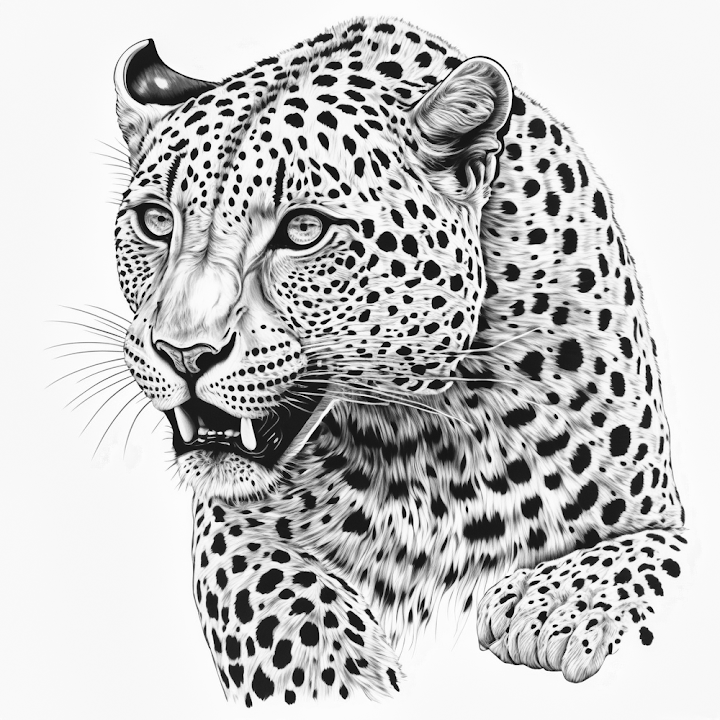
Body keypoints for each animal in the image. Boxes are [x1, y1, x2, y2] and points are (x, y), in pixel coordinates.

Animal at [111, 16, 686, 704]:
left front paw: (552, 609)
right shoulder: (232, 526)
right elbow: (288, 606)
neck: (420, 437)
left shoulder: (658, 517)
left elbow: (647, 554)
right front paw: (343, 679)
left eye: (303, 231)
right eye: (154, 221)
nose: (184, 352)